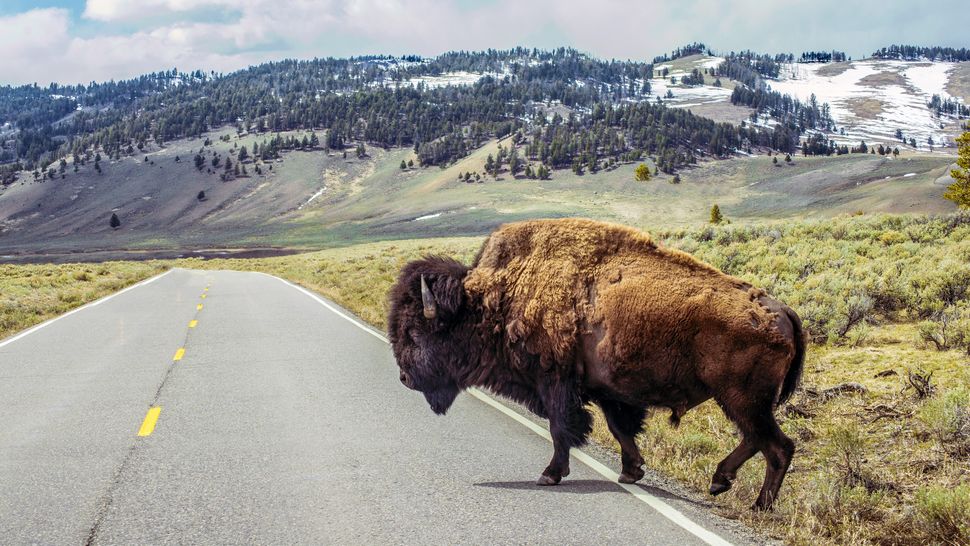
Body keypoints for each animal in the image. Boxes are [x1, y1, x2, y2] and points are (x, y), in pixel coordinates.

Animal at [388, 218, 805, 510]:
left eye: (415, 331)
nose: (404, 377)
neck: (500, 294)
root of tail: (782, 310)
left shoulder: (555, 381)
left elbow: (561, 428)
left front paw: (550, 475)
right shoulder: (605, 389)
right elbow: (620, 429)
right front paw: (631, 471)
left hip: (741, 398)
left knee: (778, 446)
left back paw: (758, 504)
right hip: (741, 401)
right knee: (758, 439)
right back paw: (721, 481)